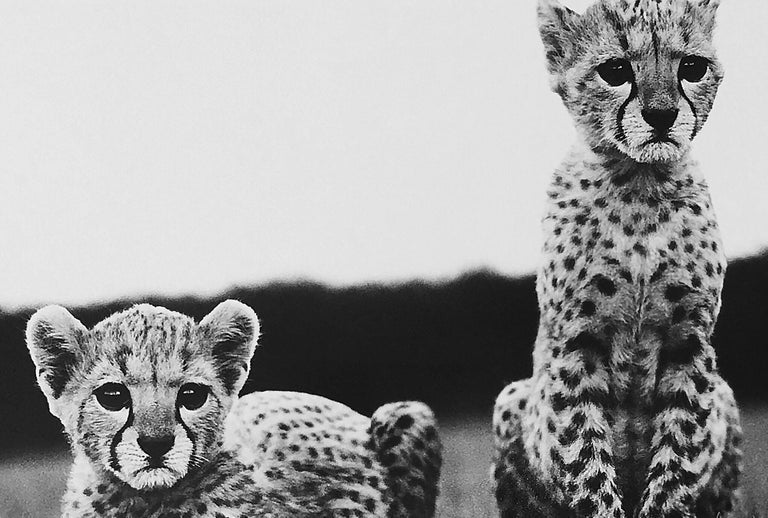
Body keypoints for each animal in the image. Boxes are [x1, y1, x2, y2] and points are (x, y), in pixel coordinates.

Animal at [491, 1, 743, 517]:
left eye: (692, 67)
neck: (640, 182)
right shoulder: (575, 344)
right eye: (615, 71)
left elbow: (676, 459)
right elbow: (585, 457)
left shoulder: (691, 343)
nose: (661, 114)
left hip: (727, 398)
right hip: (512, 397)